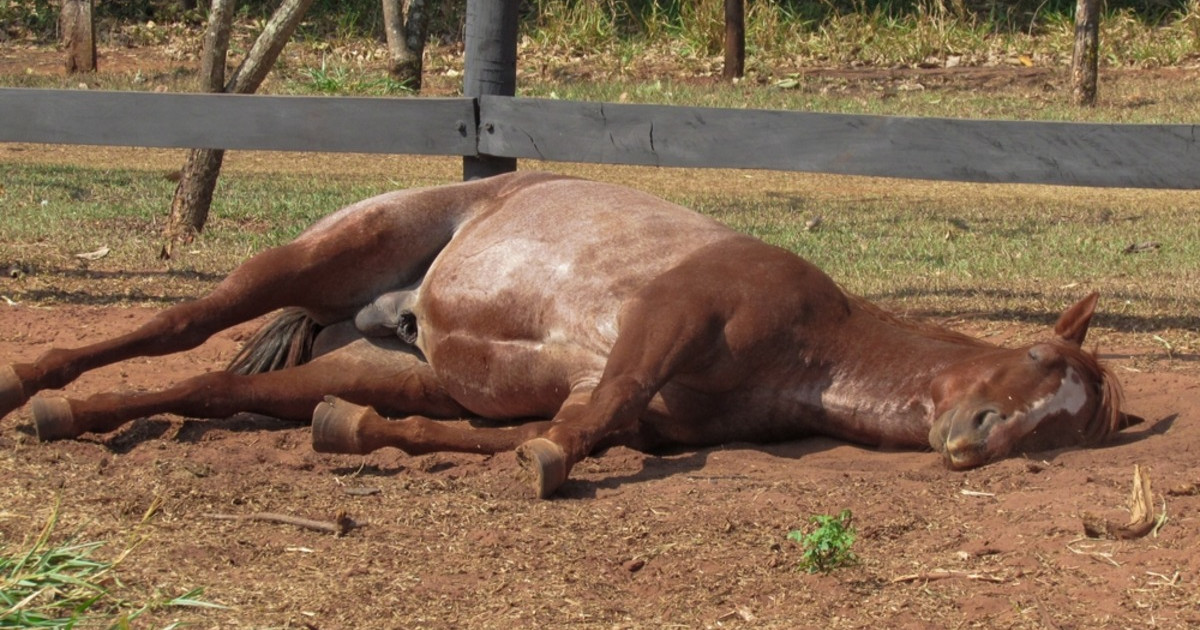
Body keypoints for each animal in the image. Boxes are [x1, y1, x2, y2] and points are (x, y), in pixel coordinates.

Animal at [0, 171, 1141, 498]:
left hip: (386, 355)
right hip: (318, 256)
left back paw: (72, 414)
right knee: (181, 323)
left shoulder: (606, 403)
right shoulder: (670, 318)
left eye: (1062, 430)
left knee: (213, 388)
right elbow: (585, 423)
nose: (976, 438)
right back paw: (30, 380)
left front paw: (349, 432)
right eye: (1040, 360)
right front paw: (547, 465)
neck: (815, 349)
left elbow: (544, 427)